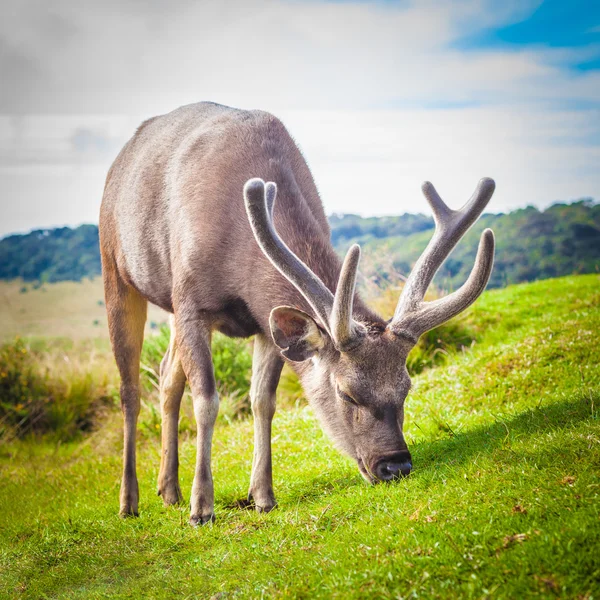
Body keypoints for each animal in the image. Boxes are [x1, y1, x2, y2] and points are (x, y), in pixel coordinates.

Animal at [99, 103, 496, 524]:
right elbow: (207, 400)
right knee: (130, 389)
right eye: (346, 393)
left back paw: (168, 489)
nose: (396, 465)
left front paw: (263, 496)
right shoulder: (191, 300)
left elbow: (263, 400)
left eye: (407, 387)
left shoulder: (263, 320)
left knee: (166, 374)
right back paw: (130, 501)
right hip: (116, 270)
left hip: (170, 308)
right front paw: (202, 507)